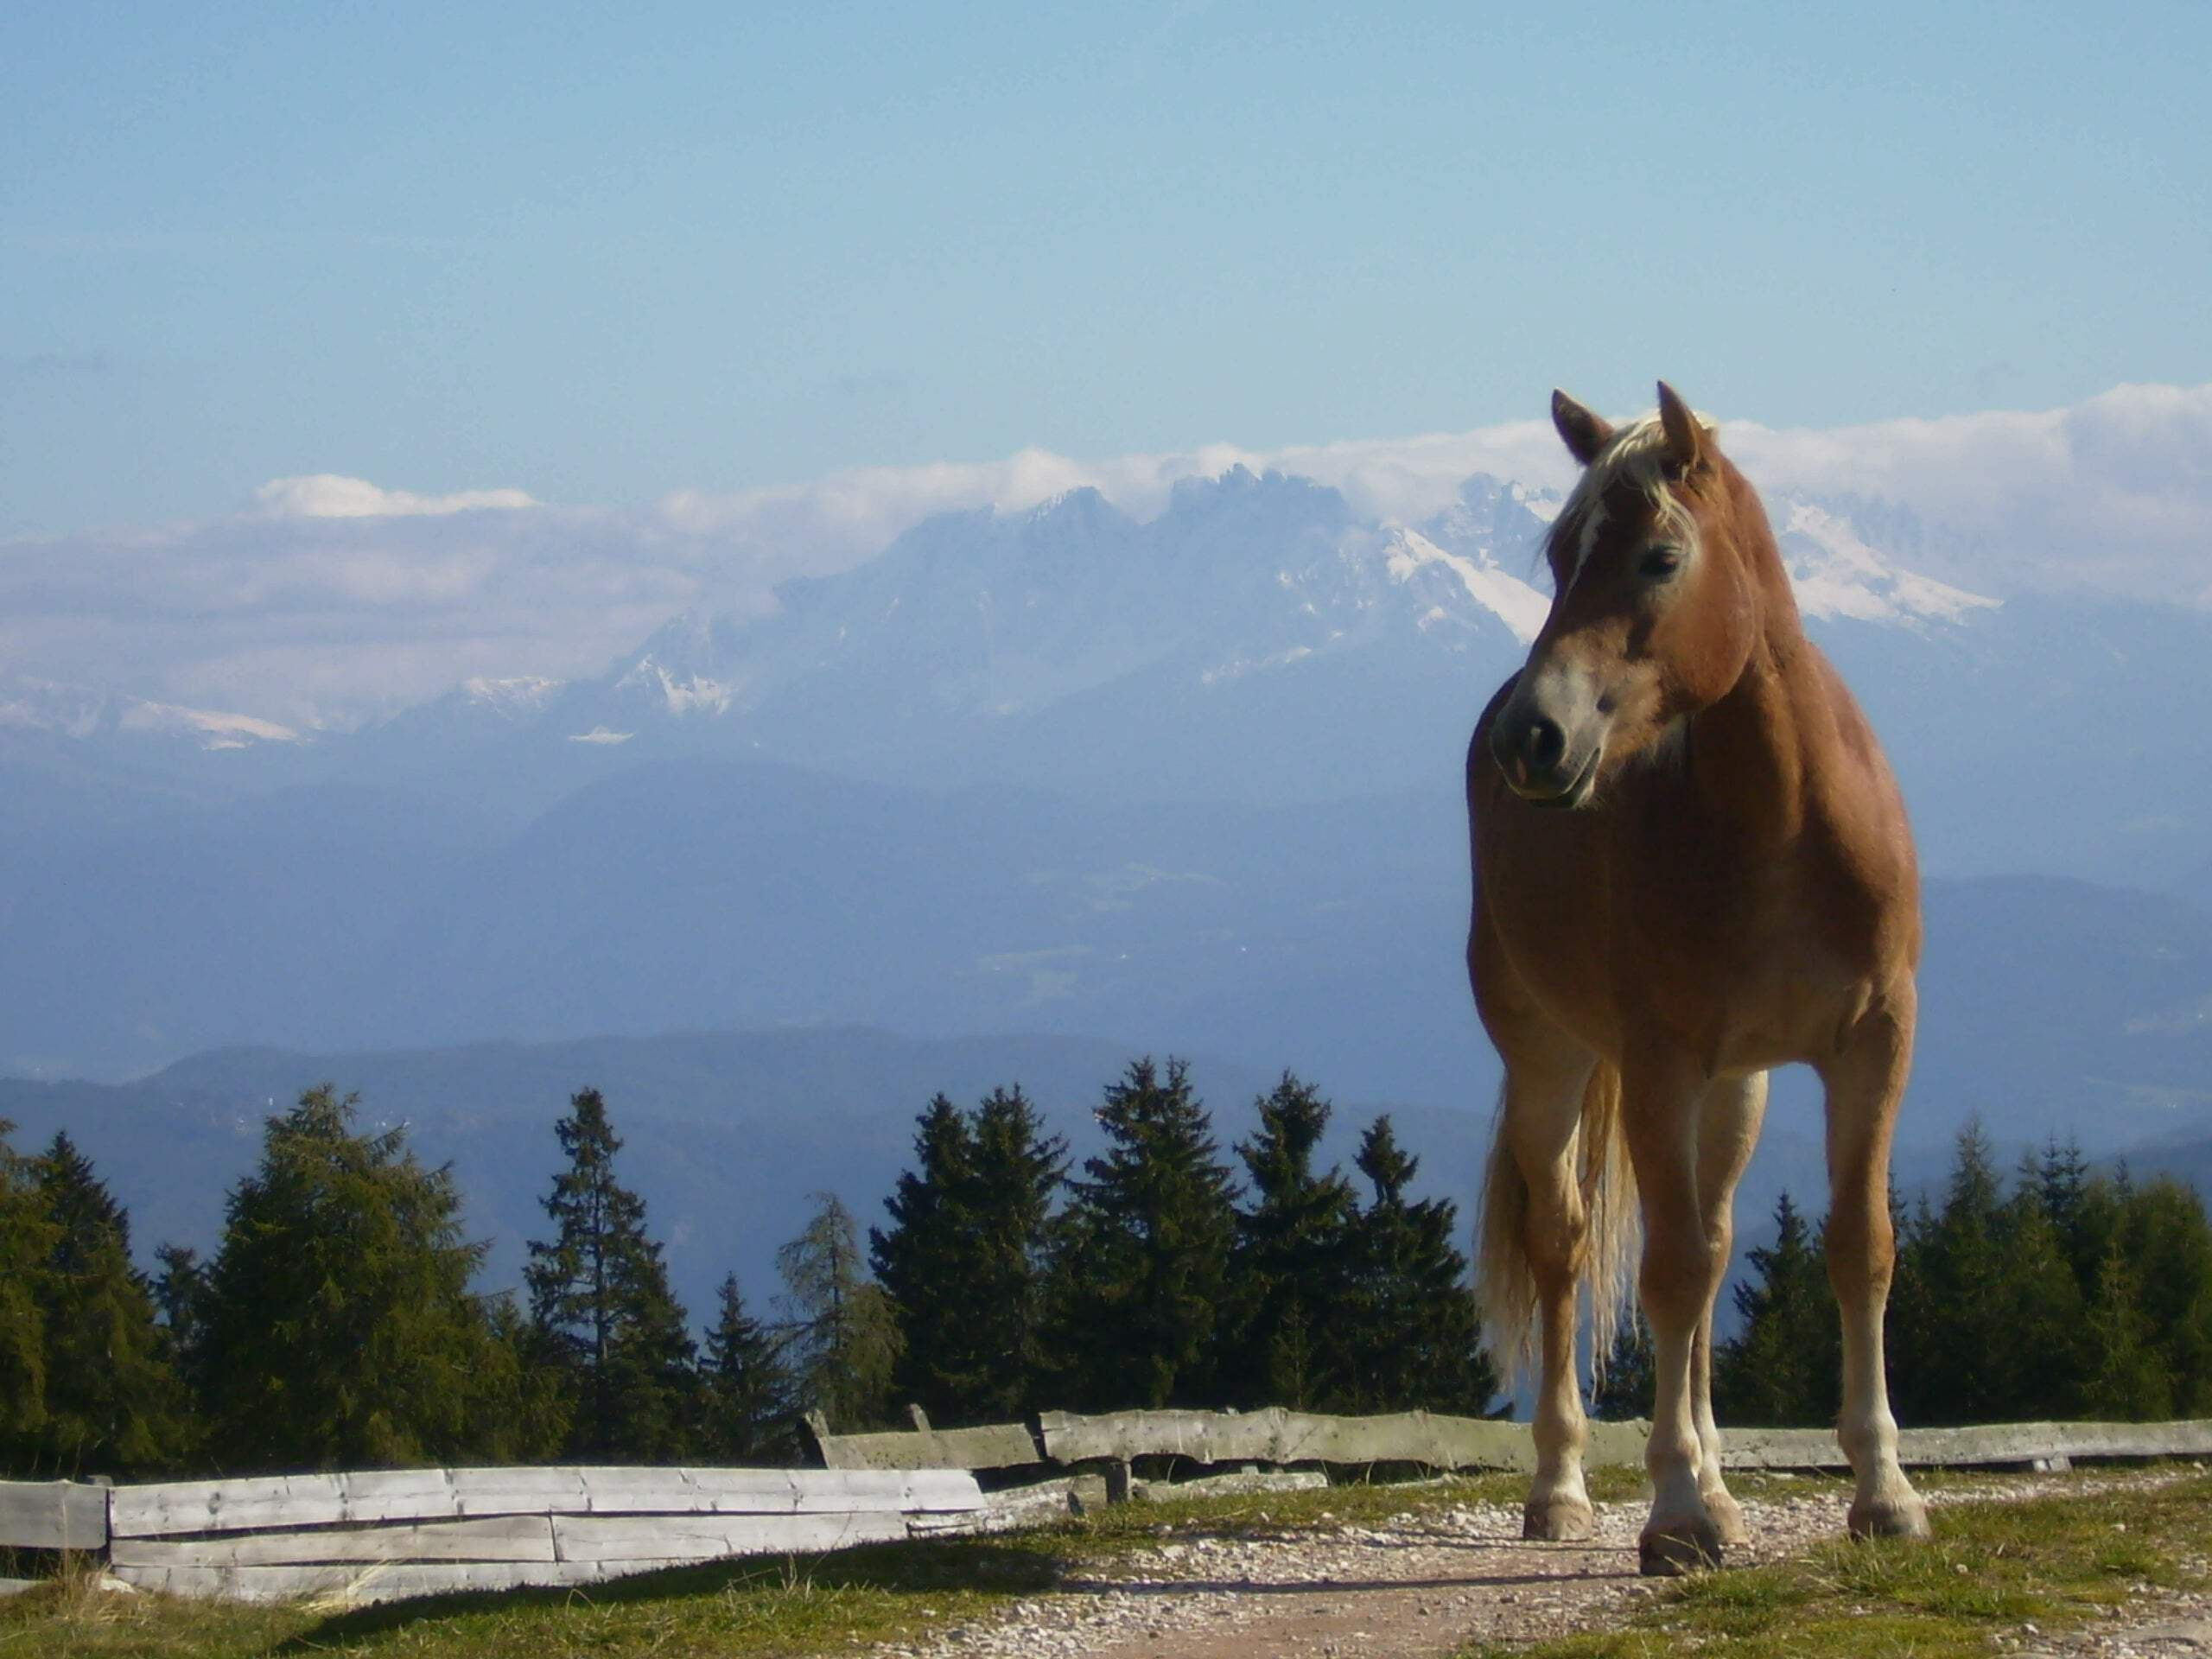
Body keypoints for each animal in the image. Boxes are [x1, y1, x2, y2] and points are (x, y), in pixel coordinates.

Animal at [1466, 382, 1931, 1575]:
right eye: (1558, 557)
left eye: (1659, 557)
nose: (1533, 737)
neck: (1785, 821)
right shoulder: (1660, 1061)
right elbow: (1666, 1271)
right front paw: (1674, 1511)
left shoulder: (1874, 1043)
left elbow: (1857, 1248)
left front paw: (1883, 1491)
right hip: (1548, 1059)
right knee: (1565, 1245)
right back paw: (1563, 1487)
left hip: (1739, 1089)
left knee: (1717, 1248)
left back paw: (1719, 1476)